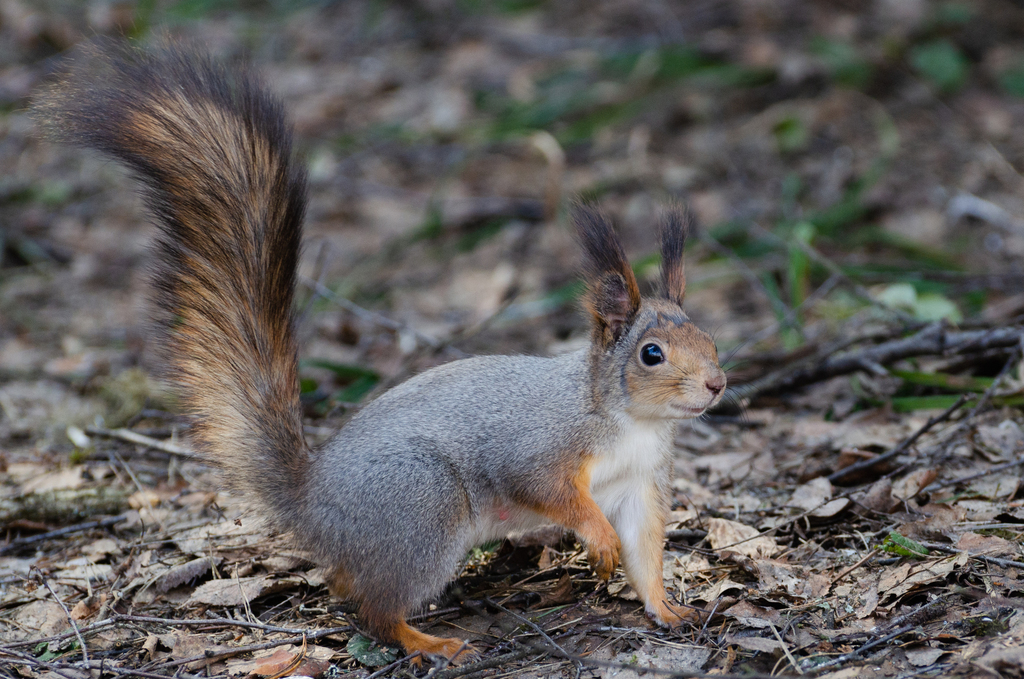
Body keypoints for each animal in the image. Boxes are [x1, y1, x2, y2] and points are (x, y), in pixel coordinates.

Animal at [37, 43, 727, 662]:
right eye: (652, 354)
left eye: (709, 338)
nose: (717, 384)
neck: (627, 420)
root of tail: (314, 505)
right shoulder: (540, 444)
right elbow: (550, 491)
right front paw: (596, 538)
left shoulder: (640, 481)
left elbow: (645, 551)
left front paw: (668, 609)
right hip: (422, 505)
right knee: (372, 611)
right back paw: (430, 643)